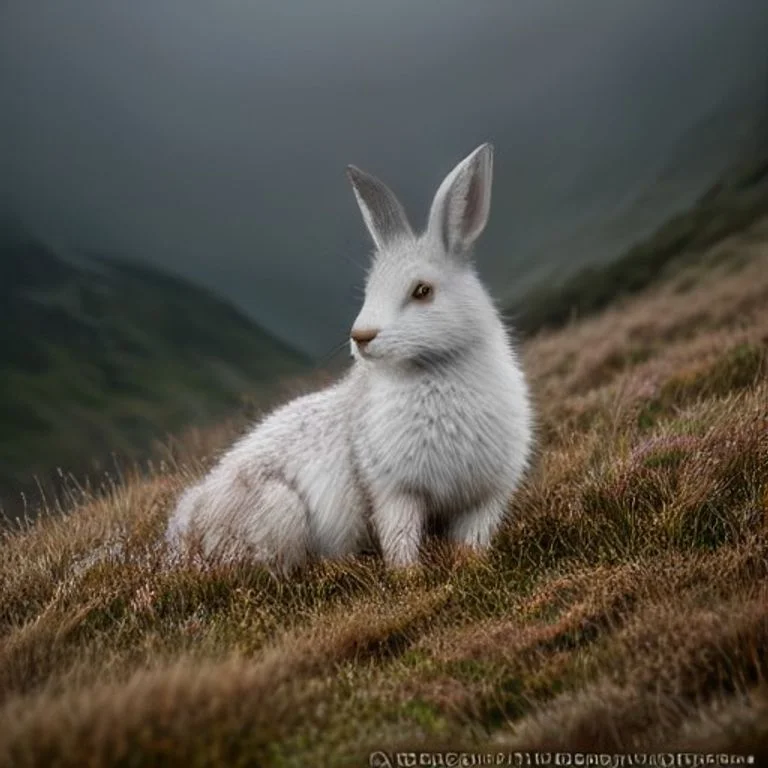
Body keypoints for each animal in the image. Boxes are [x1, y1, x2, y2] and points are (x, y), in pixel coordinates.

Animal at [165, 142, 534, 573]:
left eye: (422, 291)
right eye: (369, 290)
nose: (361, 336)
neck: (435, 369)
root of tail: (190, 524)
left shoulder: (487, 497)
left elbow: (472, 541)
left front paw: (471, 565)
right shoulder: (394, 492)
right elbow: (400, 538)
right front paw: (408, 575)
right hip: (280, 509)